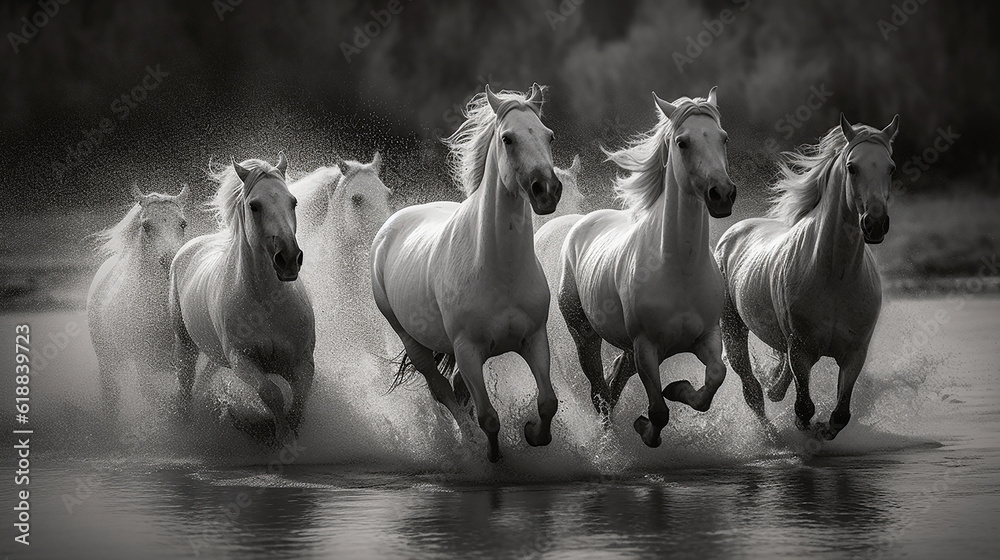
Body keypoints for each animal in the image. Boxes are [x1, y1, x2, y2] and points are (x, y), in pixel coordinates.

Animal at [87, 185, 190, 418]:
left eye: (182, 223)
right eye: (146, 226)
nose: (171, 260)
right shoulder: (143, 358)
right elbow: (152, 393)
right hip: (107, 360)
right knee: (113, 394)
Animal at [169, 153, 315, 445]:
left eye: (293, 201)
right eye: (254, 205)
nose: (289, 259)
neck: (266, 303)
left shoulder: (303, 359)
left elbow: (299, 399)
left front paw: (292, 433)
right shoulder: (242, 360)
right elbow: (271, 393)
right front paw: (284, 439)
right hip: (185, 343)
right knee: (186, 382)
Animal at [371, 84, 562, 462]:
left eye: (548, 135)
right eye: (507, 138)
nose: (547, 190)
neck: (500, 269)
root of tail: (390, 228)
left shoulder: (534, 339)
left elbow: (548, 402)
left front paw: (533, 433)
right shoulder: (468, 351)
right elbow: (488, 417)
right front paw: (491, 455)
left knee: (456, 389)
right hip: (410, 338)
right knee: (441, 388)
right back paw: (468, 441)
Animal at [555, 87, 737, 447]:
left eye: (723, 138)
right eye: (682, 142)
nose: (722, 194)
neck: (680, 269)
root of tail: (582, 224)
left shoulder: (708, 337)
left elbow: (714, 379)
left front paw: (678, 389)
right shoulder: (646, 349)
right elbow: (658, 412)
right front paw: (644, 426)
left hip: (625, 348)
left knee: (614, 380)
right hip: (585, 337)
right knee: (600, 393)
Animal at [715, 114, 898, 440]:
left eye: (891, 167)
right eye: (852, 167)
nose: (875, 223)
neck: (836, 276)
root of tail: (731, 233)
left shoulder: (855, 354)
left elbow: (841, 414)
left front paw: (825, 429)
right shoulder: (801, 351)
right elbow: (803, 410)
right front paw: (810, 432)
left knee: (774, 384)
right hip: (733, 330)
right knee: (753, 392)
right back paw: (773, 438)